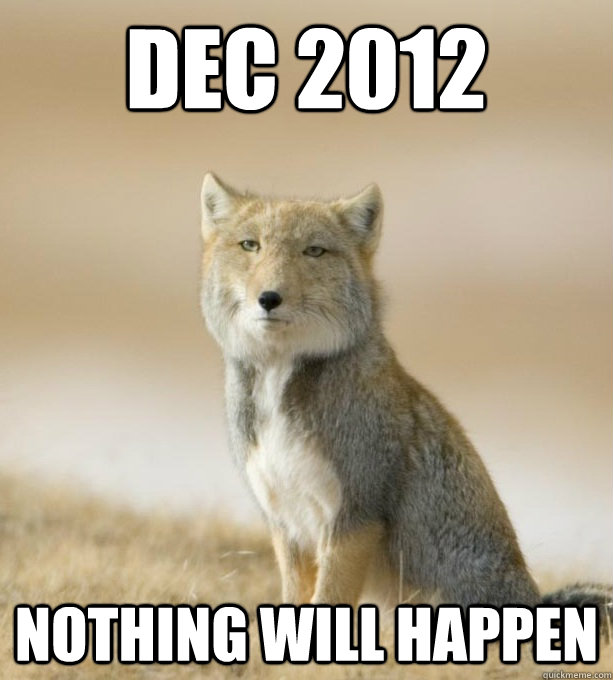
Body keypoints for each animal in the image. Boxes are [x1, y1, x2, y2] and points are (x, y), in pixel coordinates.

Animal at [199, 173, 612, 627]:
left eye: (314, 251)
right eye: (250, 245)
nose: (269, 298)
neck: (280, 382)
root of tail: (535, 602)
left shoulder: (354, 515)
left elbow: (328, 599)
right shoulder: (287, 523)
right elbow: (295, 601)